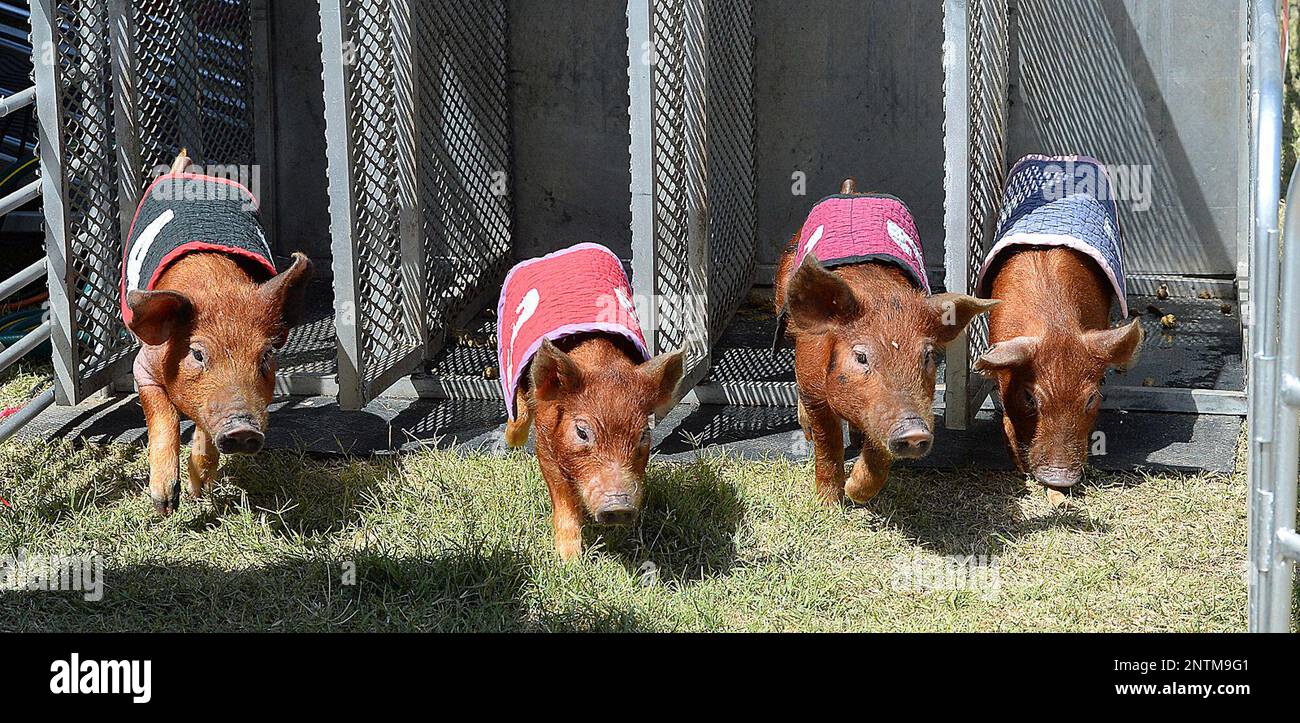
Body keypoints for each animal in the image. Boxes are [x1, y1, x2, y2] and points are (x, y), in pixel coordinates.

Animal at [121, 150, 312, 515]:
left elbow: (204, 423)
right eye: (197, 353)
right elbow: (163, 415)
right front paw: (164, 504)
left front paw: (199, 491)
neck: (214, 285)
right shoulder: (143, 368)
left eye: (266, 355)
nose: (242, 429)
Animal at [497, 243, 683, 560]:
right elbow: (563, 500)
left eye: (643, 435)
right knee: (519, 415)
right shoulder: (545, 445)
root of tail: (558, 254)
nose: (618, 506)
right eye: (582, 432)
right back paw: (510, 443)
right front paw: (570, 561)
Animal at [775, 180, 998, 504]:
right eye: (861, 357)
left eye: (927, 356)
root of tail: (852, 191)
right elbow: (828, 444)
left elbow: (879, 455)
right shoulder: (813, 385)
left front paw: (855, 491)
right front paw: (829, 503)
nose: (914, 432)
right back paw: (807, 433)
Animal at [972, 154, 1142, 490]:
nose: (1059, 479)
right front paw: (1021, 470)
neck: (1054, 325)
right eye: (1029, 397)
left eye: (1091, 398)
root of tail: (1059, 158)